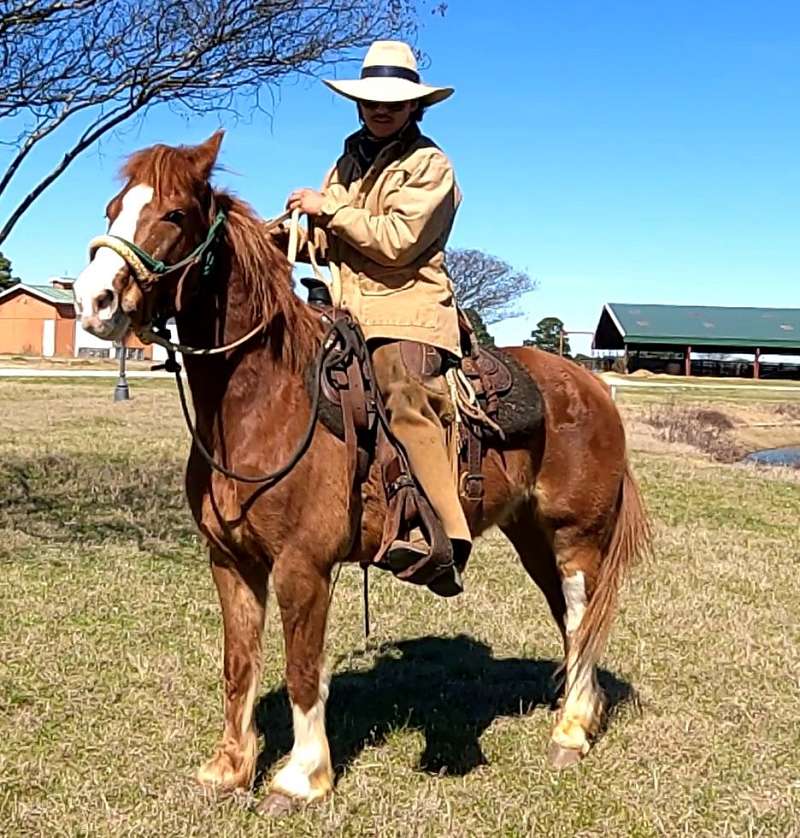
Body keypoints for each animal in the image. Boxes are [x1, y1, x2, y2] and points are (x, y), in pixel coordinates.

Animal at [72, 132, 650, 816]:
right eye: (113, 209)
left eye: (175, 214)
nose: (92, 301)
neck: (264, 404)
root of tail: (592, 383)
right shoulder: (230, 561)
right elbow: (239, 665)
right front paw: (228, 769)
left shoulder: (302, 566)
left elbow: (302, 670)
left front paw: (299, 778)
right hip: (533, 538)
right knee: (569, 621)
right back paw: (576, 714)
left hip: (576, 538)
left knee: (583, 618)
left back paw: (571, 732)